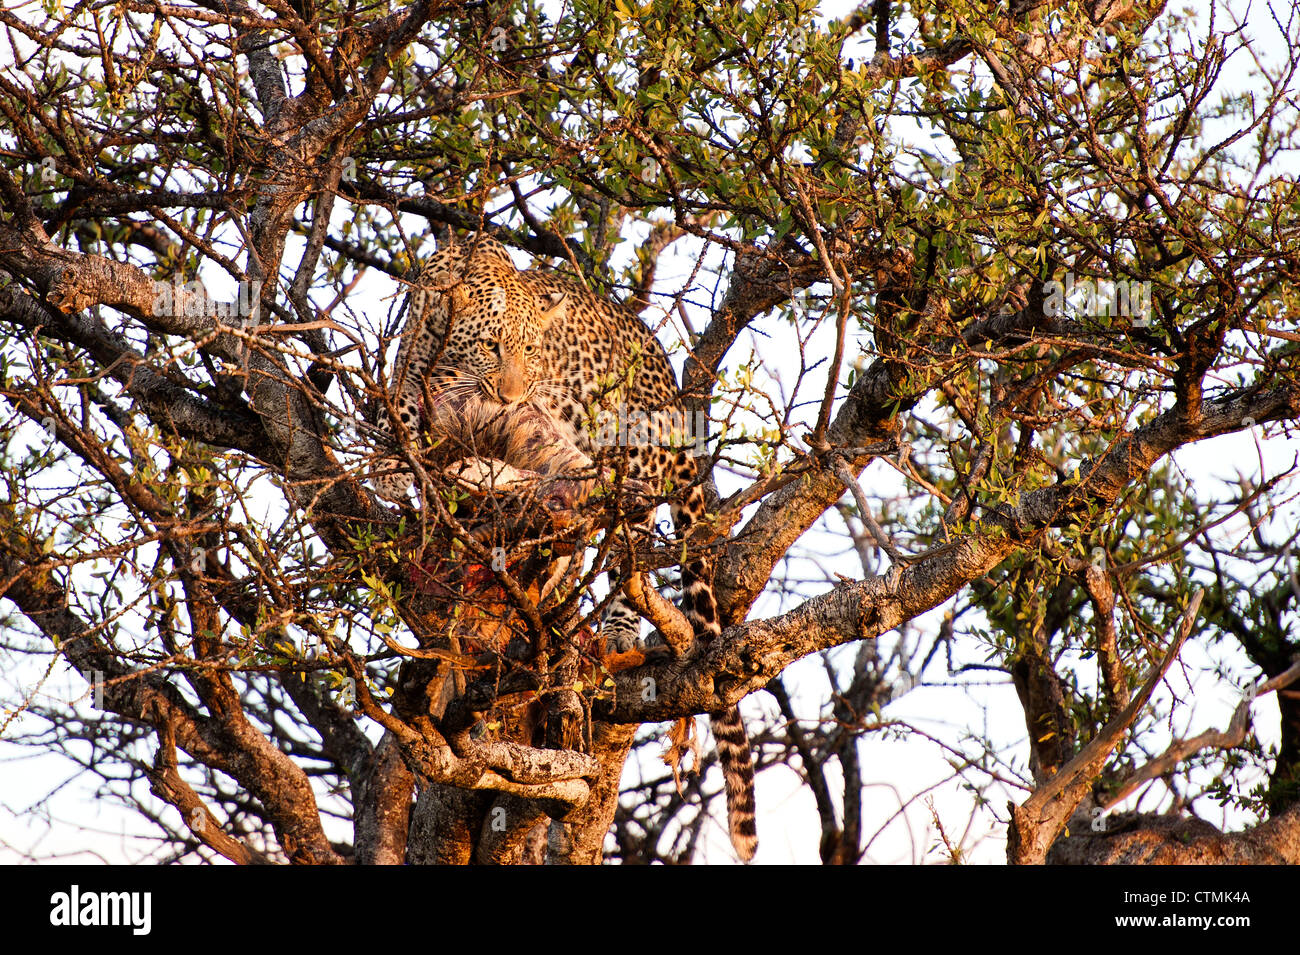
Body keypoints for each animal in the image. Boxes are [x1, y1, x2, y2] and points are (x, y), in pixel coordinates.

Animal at [372, 233, 758, 862]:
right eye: (492, 347)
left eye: (532, 350)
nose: (513, 393)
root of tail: (670, 383)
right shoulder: (412, 373)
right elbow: (402, 411)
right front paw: (392, 466)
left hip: (634, 459)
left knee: (630, 549)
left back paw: (617, 628)